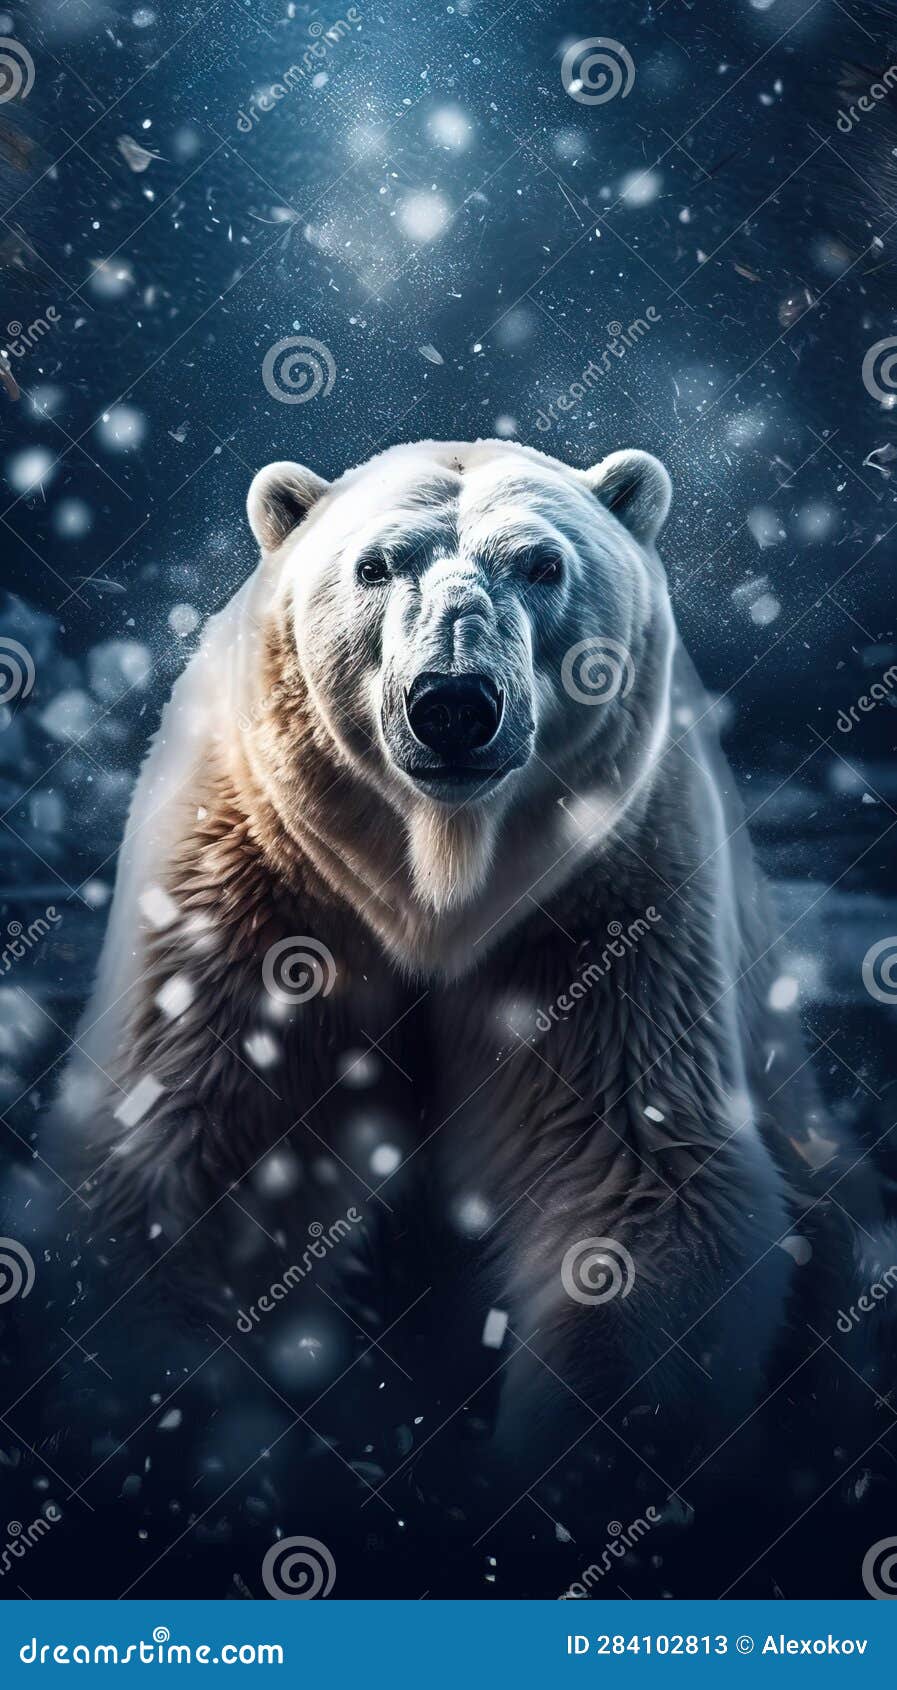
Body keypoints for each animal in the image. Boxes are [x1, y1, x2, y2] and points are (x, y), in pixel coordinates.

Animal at [54, 438, 885, 1583]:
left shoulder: (604, 898)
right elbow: (185, 1166)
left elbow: (636, 1182)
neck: (434, 883)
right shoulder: (252, 883)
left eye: (541, 564)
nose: (453, 702)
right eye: (373, 565)